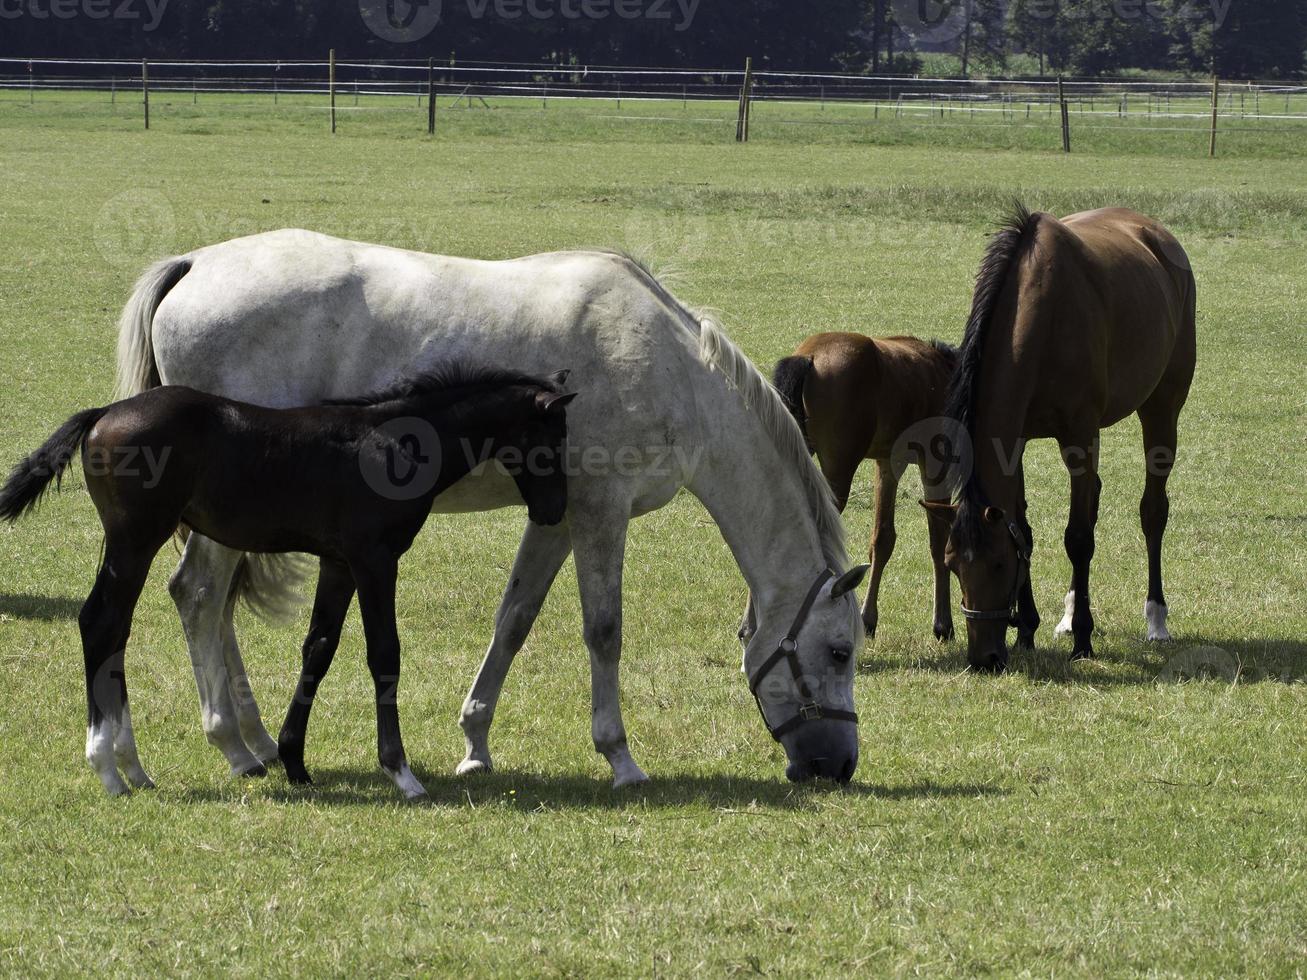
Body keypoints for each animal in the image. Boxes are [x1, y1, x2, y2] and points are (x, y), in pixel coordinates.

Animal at [0, 365, 576, 798]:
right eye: (553, 442)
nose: (554, 512)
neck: (395, 443)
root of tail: (103, 414)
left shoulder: (339, 563)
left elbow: (319, 647)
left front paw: (295, 761)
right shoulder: (375, 560)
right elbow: (384, 654)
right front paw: (401, 772)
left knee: (114, 628)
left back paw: (133, 768)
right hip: (136, 539)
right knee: (100, 622)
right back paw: (109, 769)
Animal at [111, 231, 870, 786]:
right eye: (839, 651)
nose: (836, 766)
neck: (671, 369)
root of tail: (195, 264)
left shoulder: (558, 518)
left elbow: (514, 620)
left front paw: (475, 743)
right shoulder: (601, 512)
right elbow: (604, 632)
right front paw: (620, 757)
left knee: (214, 606)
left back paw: (258, 742)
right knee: (197, 594)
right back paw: (230, 747)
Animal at [770, 333, 960, 642]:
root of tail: (809, 357)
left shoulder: (888, 463)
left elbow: (882, 539)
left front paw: (868, 619)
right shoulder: (934, 461)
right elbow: (939, 540)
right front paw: (943, 623)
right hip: (837, 473)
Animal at [922, 206, 1196, 672]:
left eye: (999, 566)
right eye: (953, 565)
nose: (984, 659)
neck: (1042, 317)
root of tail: (1158, 235)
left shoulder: (1080, 438)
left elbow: (1078, 538)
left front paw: (1083, 640)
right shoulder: (1014, 443)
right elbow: (1026, 531)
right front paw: (1028, 630)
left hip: (1162, 409)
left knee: (1153, 512)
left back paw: (1155, 619)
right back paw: (1068, 615)